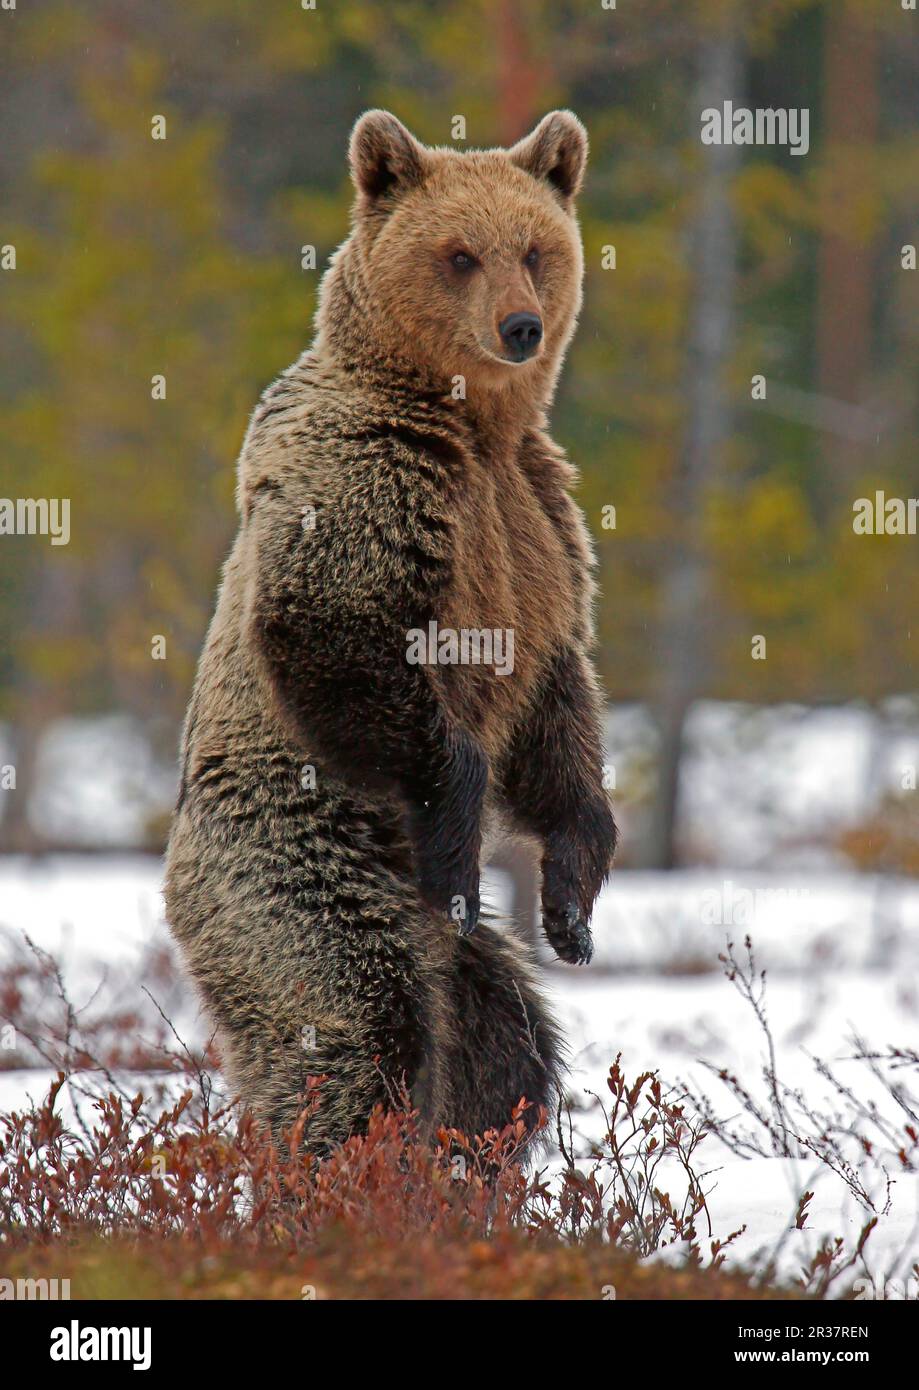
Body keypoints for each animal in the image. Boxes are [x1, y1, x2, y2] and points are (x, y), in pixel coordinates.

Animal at [163, 109, 617, 1155]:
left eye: (533, 249)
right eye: (459, 254)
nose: (520, 327)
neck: (470, 427)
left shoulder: (539, 522)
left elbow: (557, 700)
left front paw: (572, 904)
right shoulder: (367, 477)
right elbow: (342, 634)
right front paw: (460, 824)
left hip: (458, 964)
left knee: (506, 1050)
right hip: (297, 863)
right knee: (352, 1027)